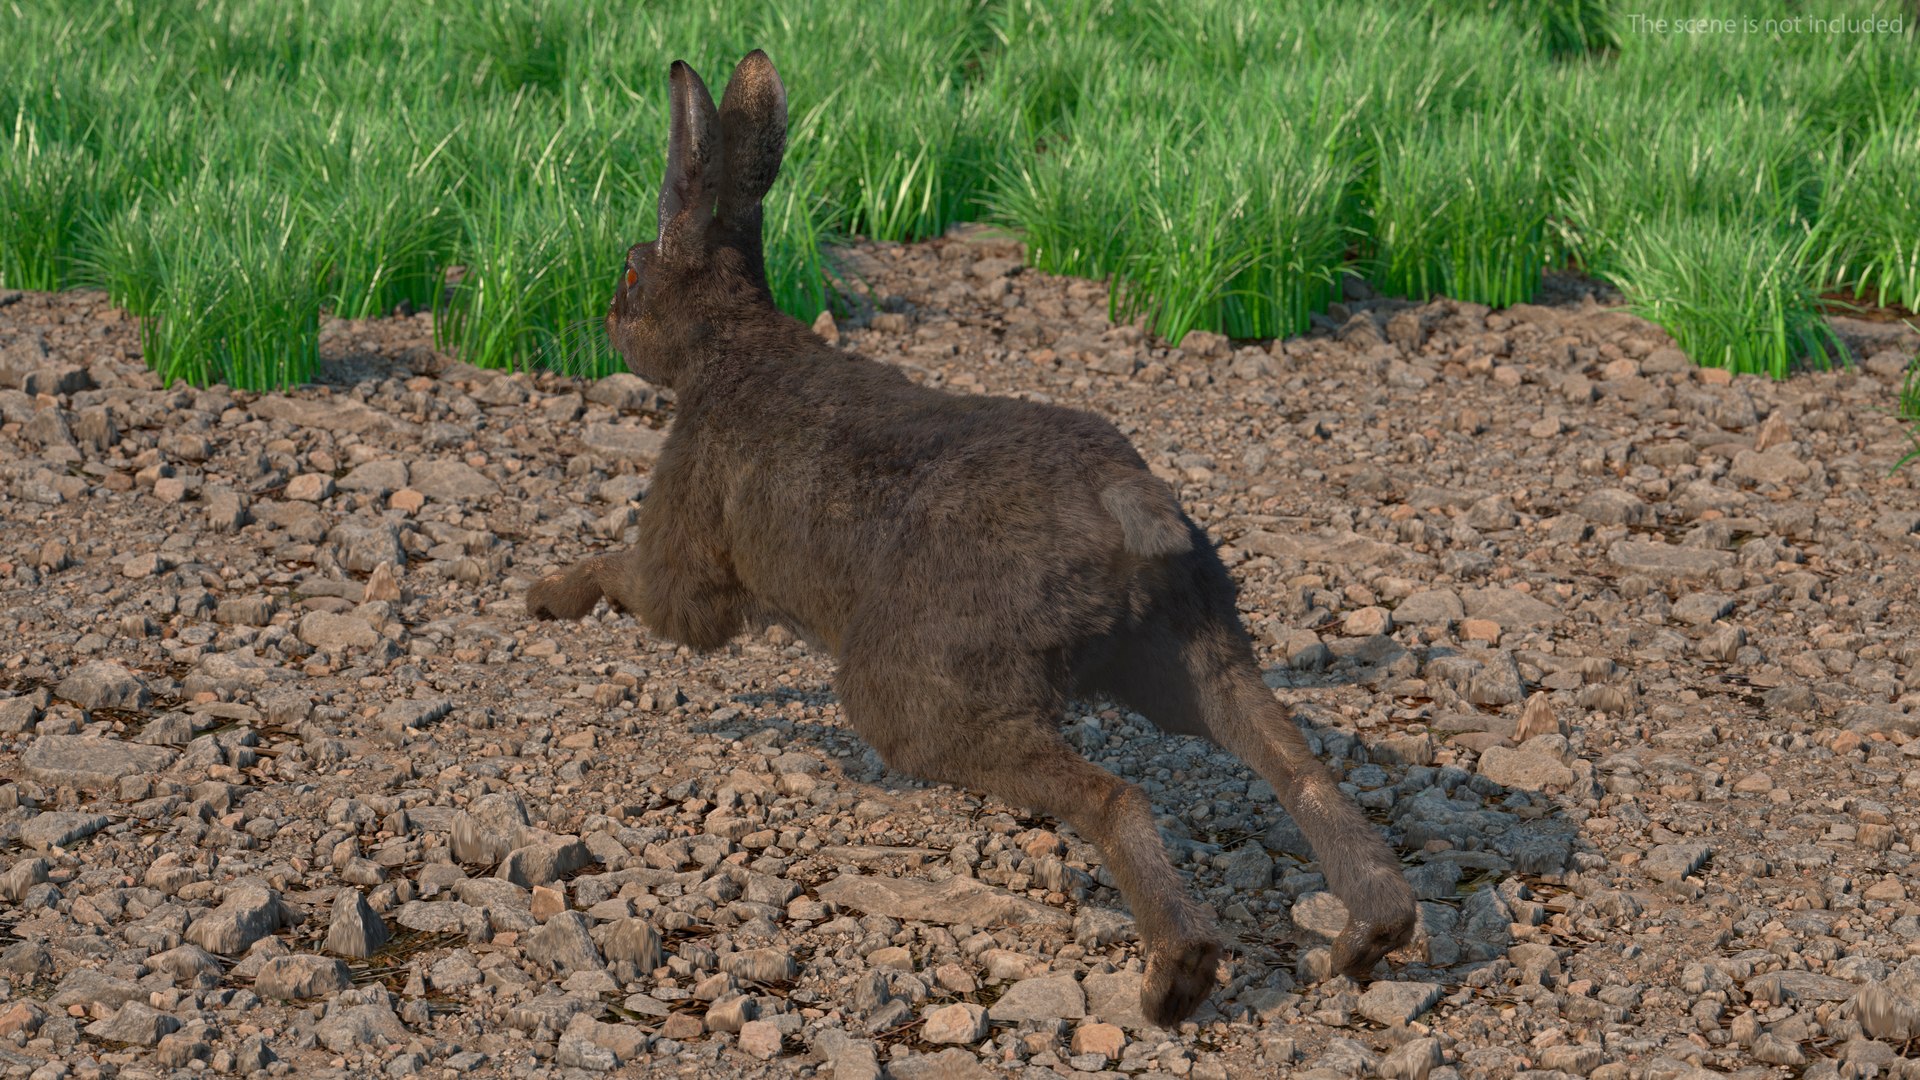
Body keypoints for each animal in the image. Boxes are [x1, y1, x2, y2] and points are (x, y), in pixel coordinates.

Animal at [524, 49, 1417, 1027]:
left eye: (632, 272)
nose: (610, 318)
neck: (727, 345)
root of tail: (1129, 510)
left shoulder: (689, 550)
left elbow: (636, 583)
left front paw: (546, 598)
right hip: (1188, 653)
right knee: (1295, 766)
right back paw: (1369, 939)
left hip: (923, 688)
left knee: (1113, 796)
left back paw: (1173, 982)